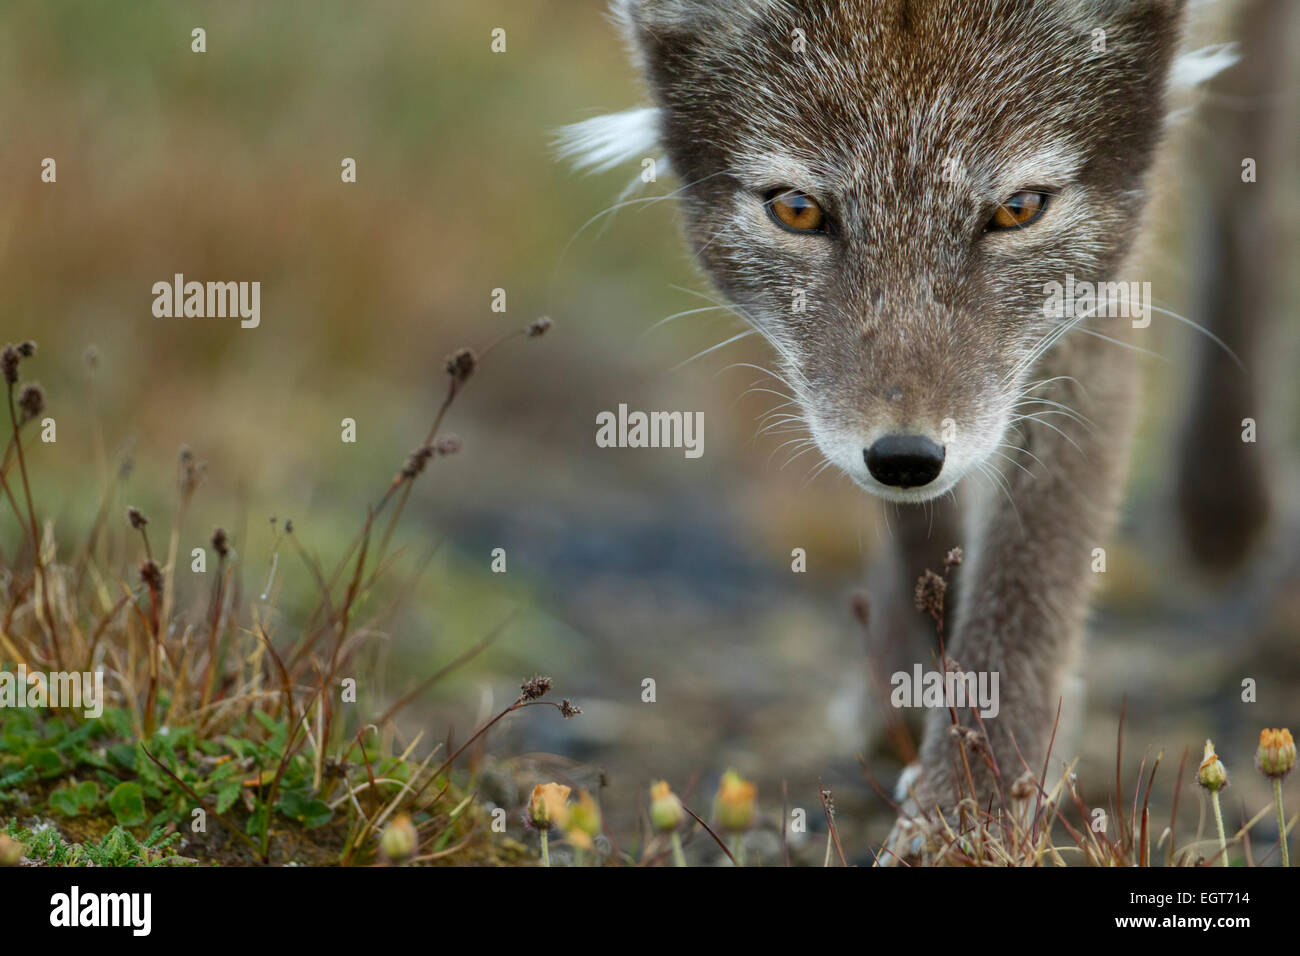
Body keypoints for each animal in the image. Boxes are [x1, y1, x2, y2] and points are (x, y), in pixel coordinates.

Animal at [560, 0, 1292, 852]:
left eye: (1018, 209)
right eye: (796, 209)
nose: (906, 455)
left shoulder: (1091, 293)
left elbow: (1038, 551)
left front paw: (968, 813)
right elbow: (926, 522)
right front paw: (923, 695)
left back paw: (1225, 512)